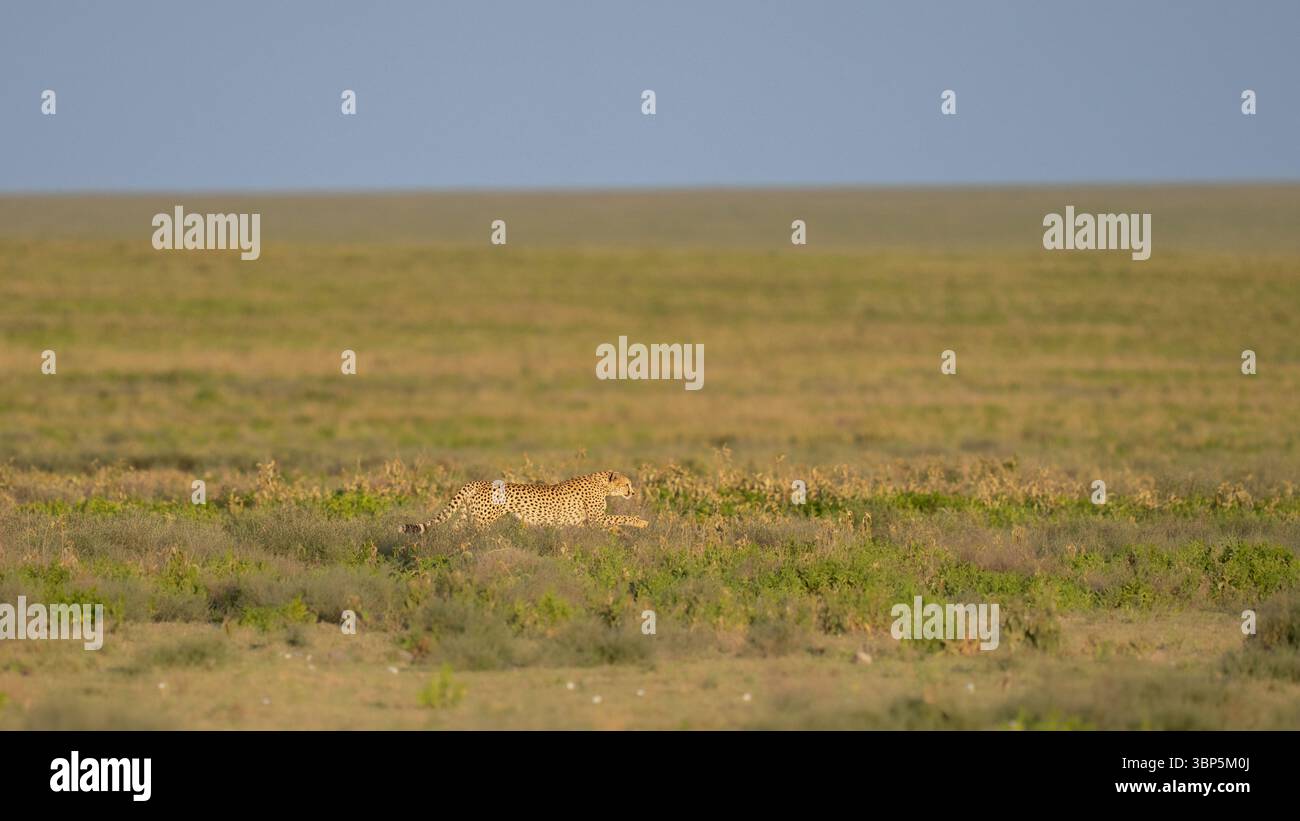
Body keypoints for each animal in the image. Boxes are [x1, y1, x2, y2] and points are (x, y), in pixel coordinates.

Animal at [399, 471, 649, 534]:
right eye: (627, 484)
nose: (633, 492)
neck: (602, 484)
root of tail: (478, 481)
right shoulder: (596, 519)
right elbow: (620, 516)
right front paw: (642, 522)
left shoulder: (583, 523)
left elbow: (613, 522)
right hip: (482, 521)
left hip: (466, 516)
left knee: (456, 532)